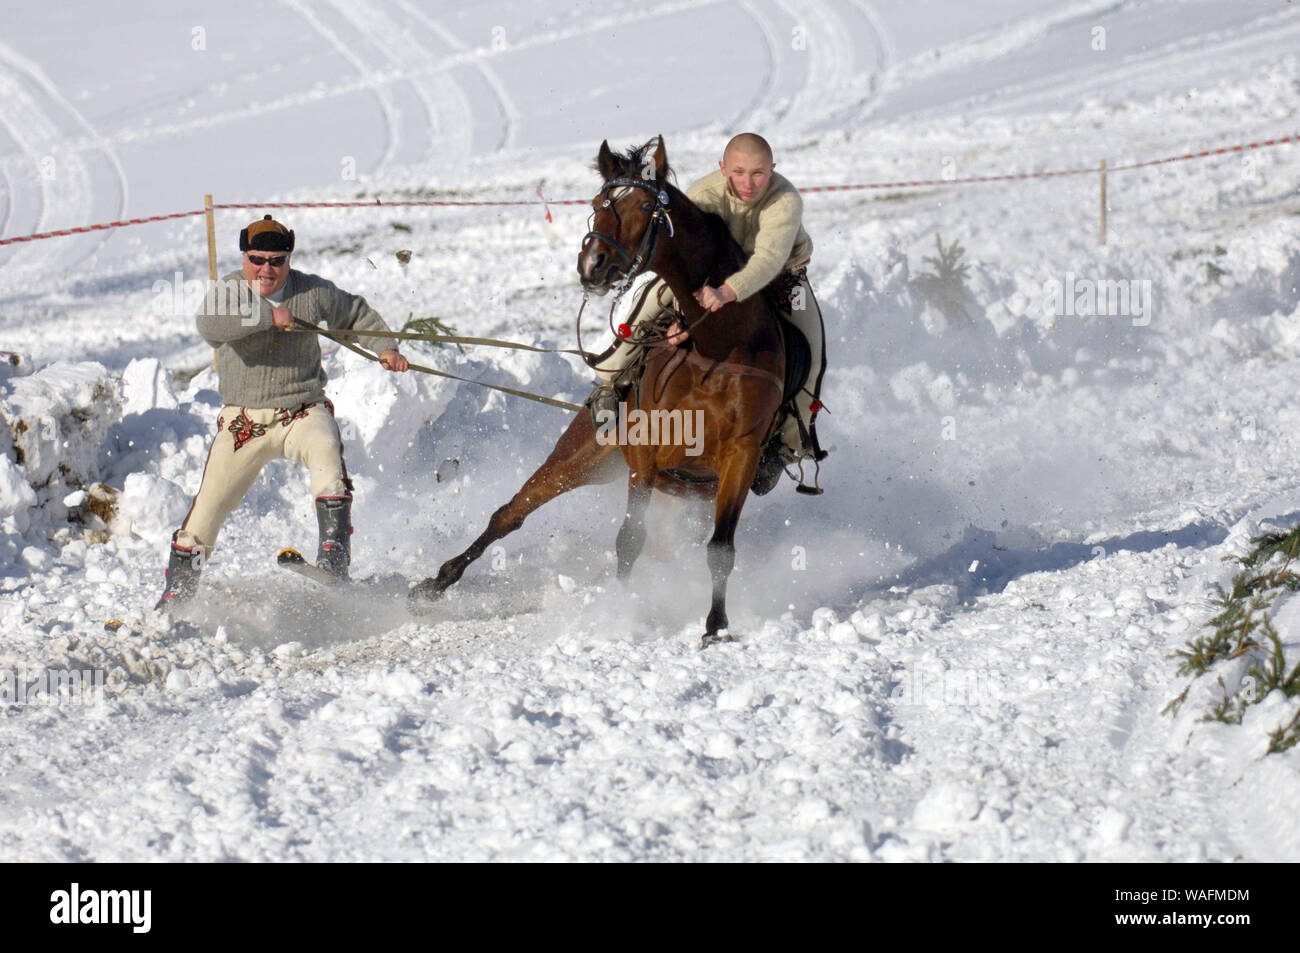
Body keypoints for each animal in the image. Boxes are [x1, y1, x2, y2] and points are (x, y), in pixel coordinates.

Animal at [409, 136, 786, 646]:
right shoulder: (644, 453)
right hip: (584, 454)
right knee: (511, 512)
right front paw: (620, 609)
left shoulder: (740, 459)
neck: (717, 346)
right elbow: (629, 540)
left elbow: (720, 548)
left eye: (646, 206)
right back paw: (439, 580)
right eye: (595, 205)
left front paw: (715, 625)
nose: (593, 265)